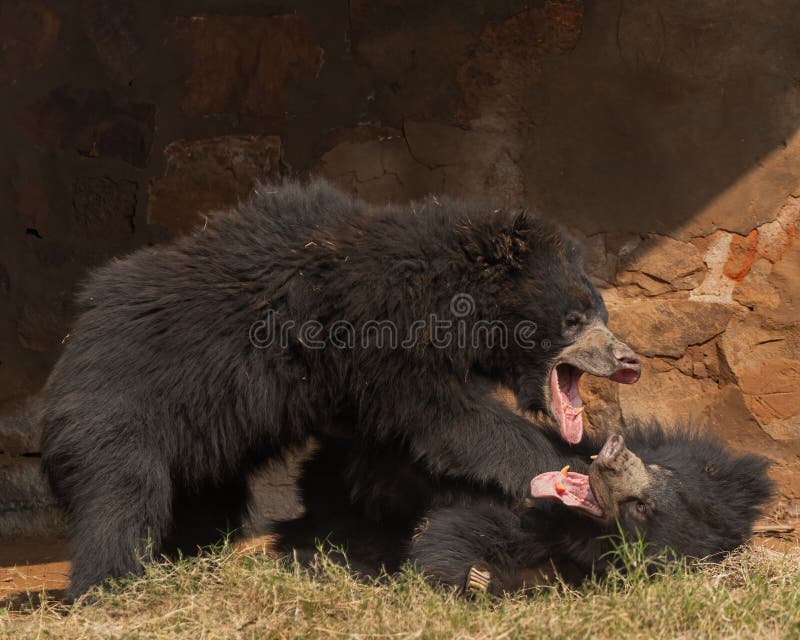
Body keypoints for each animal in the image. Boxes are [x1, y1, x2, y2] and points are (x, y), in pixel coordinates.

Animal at [38, 180, 641, 597]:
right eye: (573, 318)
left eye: (601, 312)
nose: (629, 360)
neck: (448, 296)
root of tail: (70, 345)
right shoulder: (379, 330)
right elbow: (447, 418)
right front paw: (569, 471)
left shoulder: (357, 383)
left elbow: (384, 456)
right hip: (123, 406)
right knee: (121, 497)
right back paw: (110, 584)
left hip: (201, 438)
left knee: (206, 499)